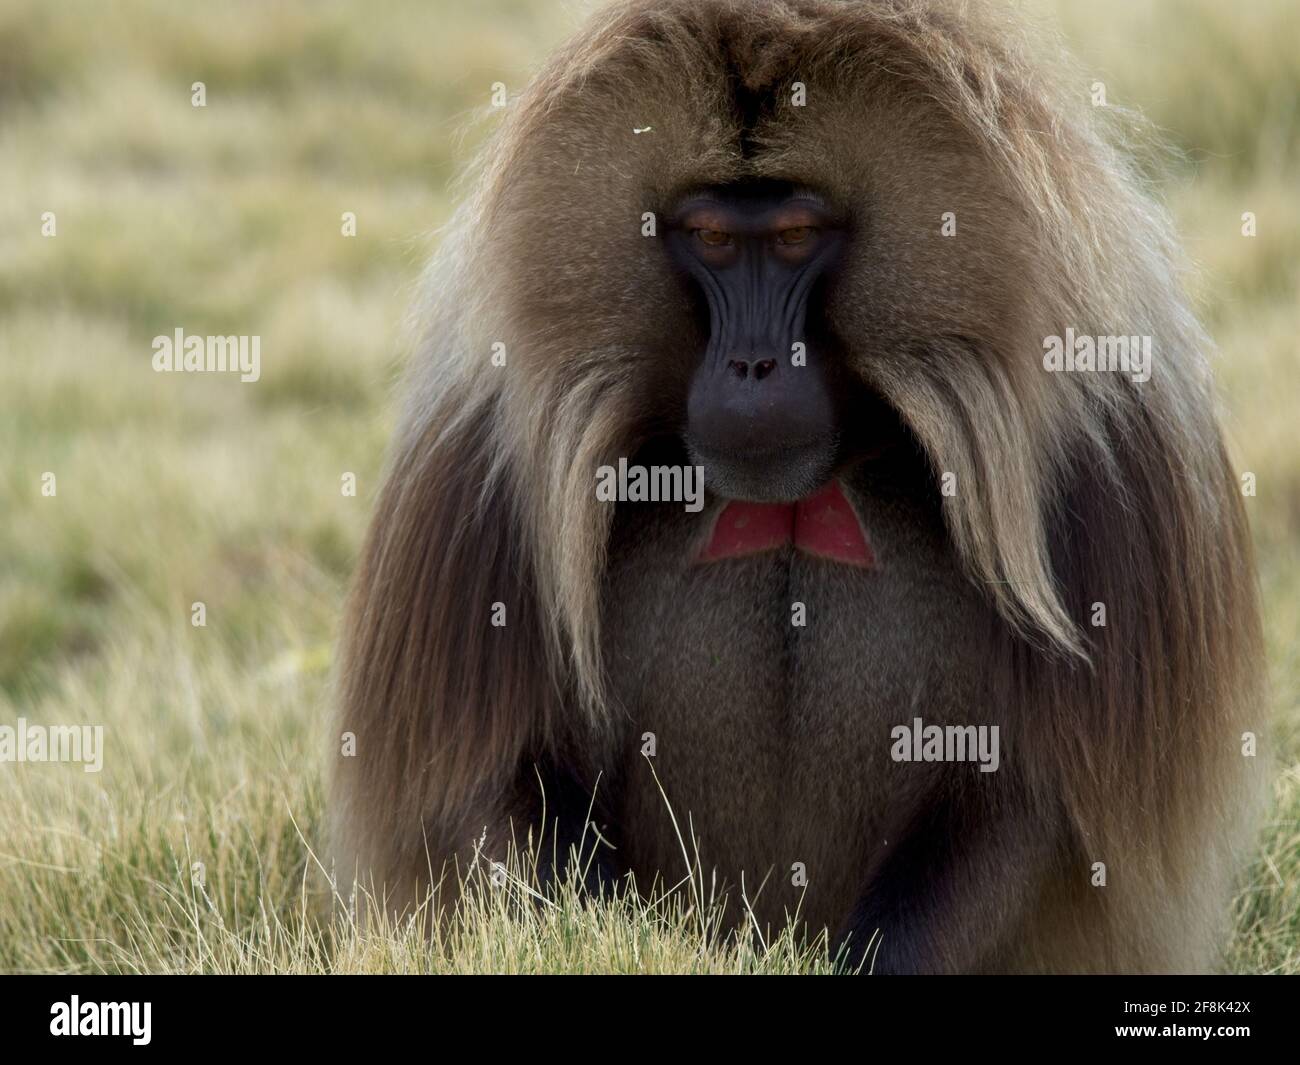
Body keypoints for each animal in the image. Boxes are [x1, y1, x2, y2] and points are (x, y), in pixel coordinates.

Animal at [331, 0, 1265, 973]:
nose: (752, 367)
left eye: (792, 240)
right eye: (710, 238)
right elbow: (486, 783)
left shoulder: (1110, 455)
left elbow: (1040, 808)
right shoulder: (479, 453)